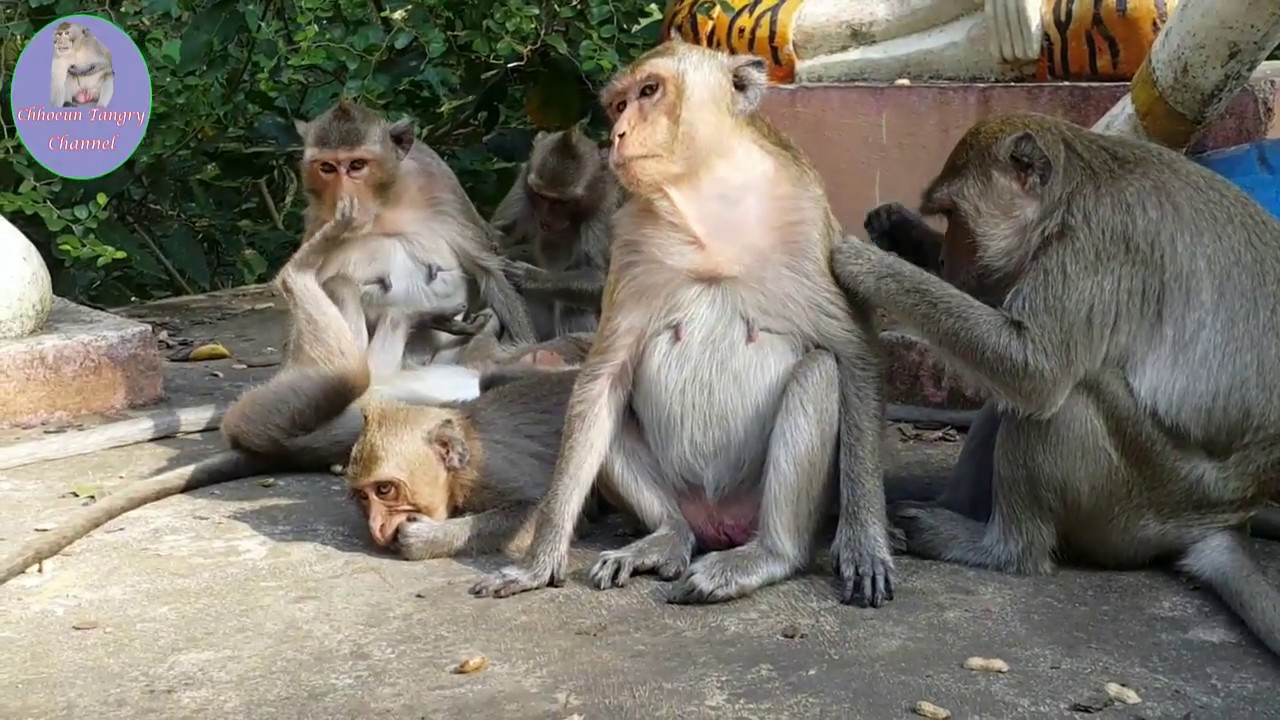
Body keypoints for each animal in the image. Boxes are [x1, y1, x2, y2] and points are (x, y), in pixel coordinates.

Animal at [293, 99, 537, 366]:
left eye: (357, 165)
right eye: (326, 167)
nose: (342, 198)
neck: (382, 206)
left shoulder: (439, 183)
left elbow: (488, 270)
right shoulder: (318, 221)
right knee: (339, 284)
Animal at [488, 123, 623, 340]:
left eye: (562, 202)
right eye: (542, 196)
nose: (546, 220)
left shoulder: (605, 207)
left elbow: (601, 280)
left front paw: (528, 276)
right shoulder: (524, 183)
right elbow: (500, 229)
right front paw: (495, 243)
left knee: (572, 306)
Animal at [830, 112, 1280, 657]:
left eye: (957, 216)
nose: (945, 261)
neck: (1074, 192)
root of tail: (1223, 520)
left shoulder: (1093, 250)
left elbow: (1034, 368)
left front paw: (869, 266)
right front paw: (901, 232)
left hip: (1145, 500)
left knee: (1066, 395)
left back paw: (999, 548)